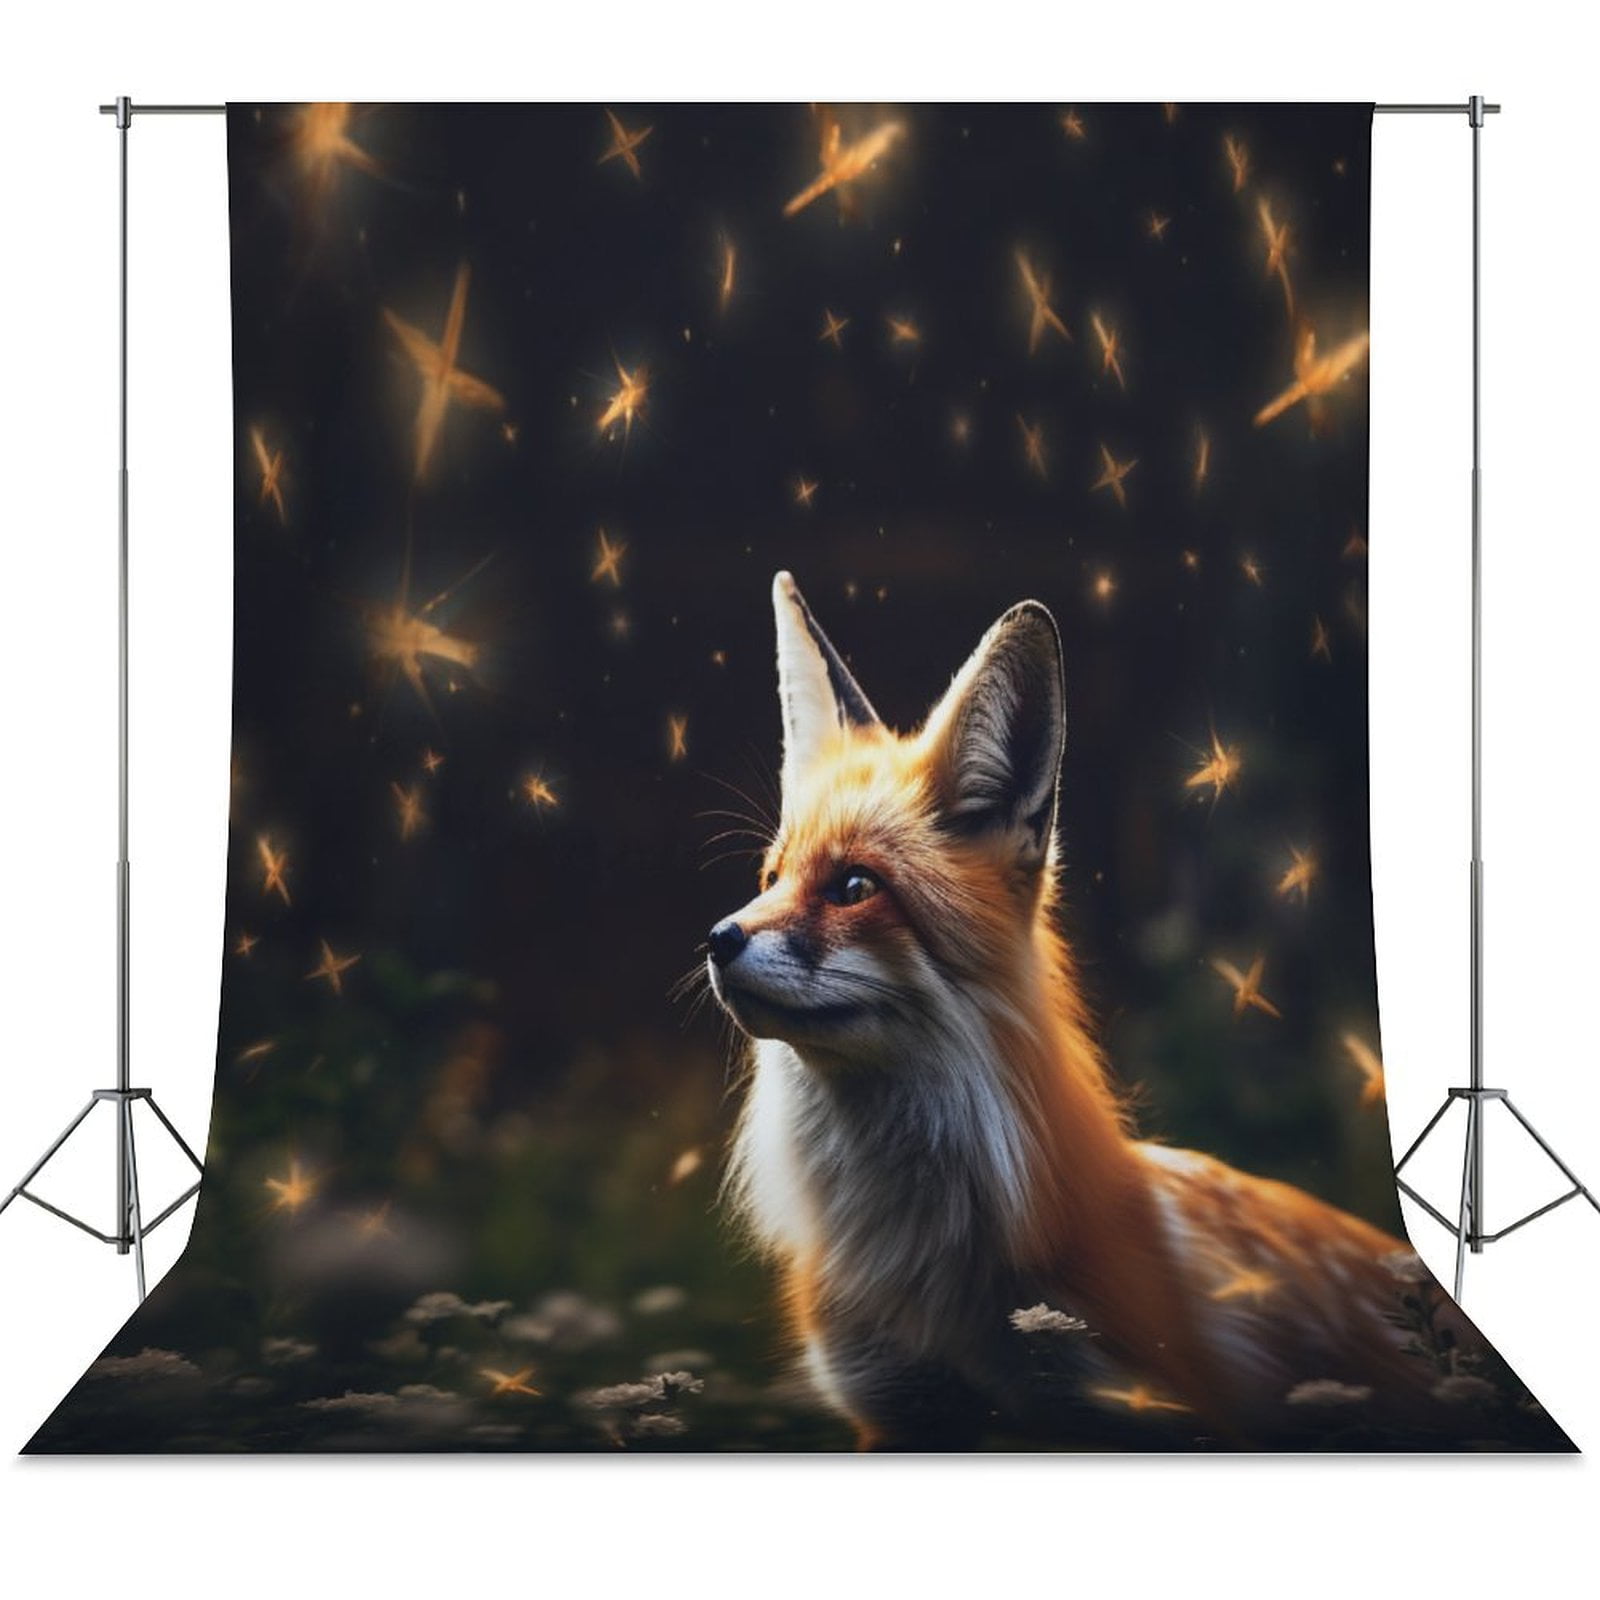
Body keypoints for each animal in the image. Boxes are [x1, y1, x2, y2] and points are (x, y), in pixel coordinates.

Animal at [705, 571, 1547, 1450]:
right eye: (771, 878)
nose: (716, 939)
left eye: (854, 887)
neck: (924, 1268)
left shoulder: (1135, 1409)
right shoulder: (894, 1411)